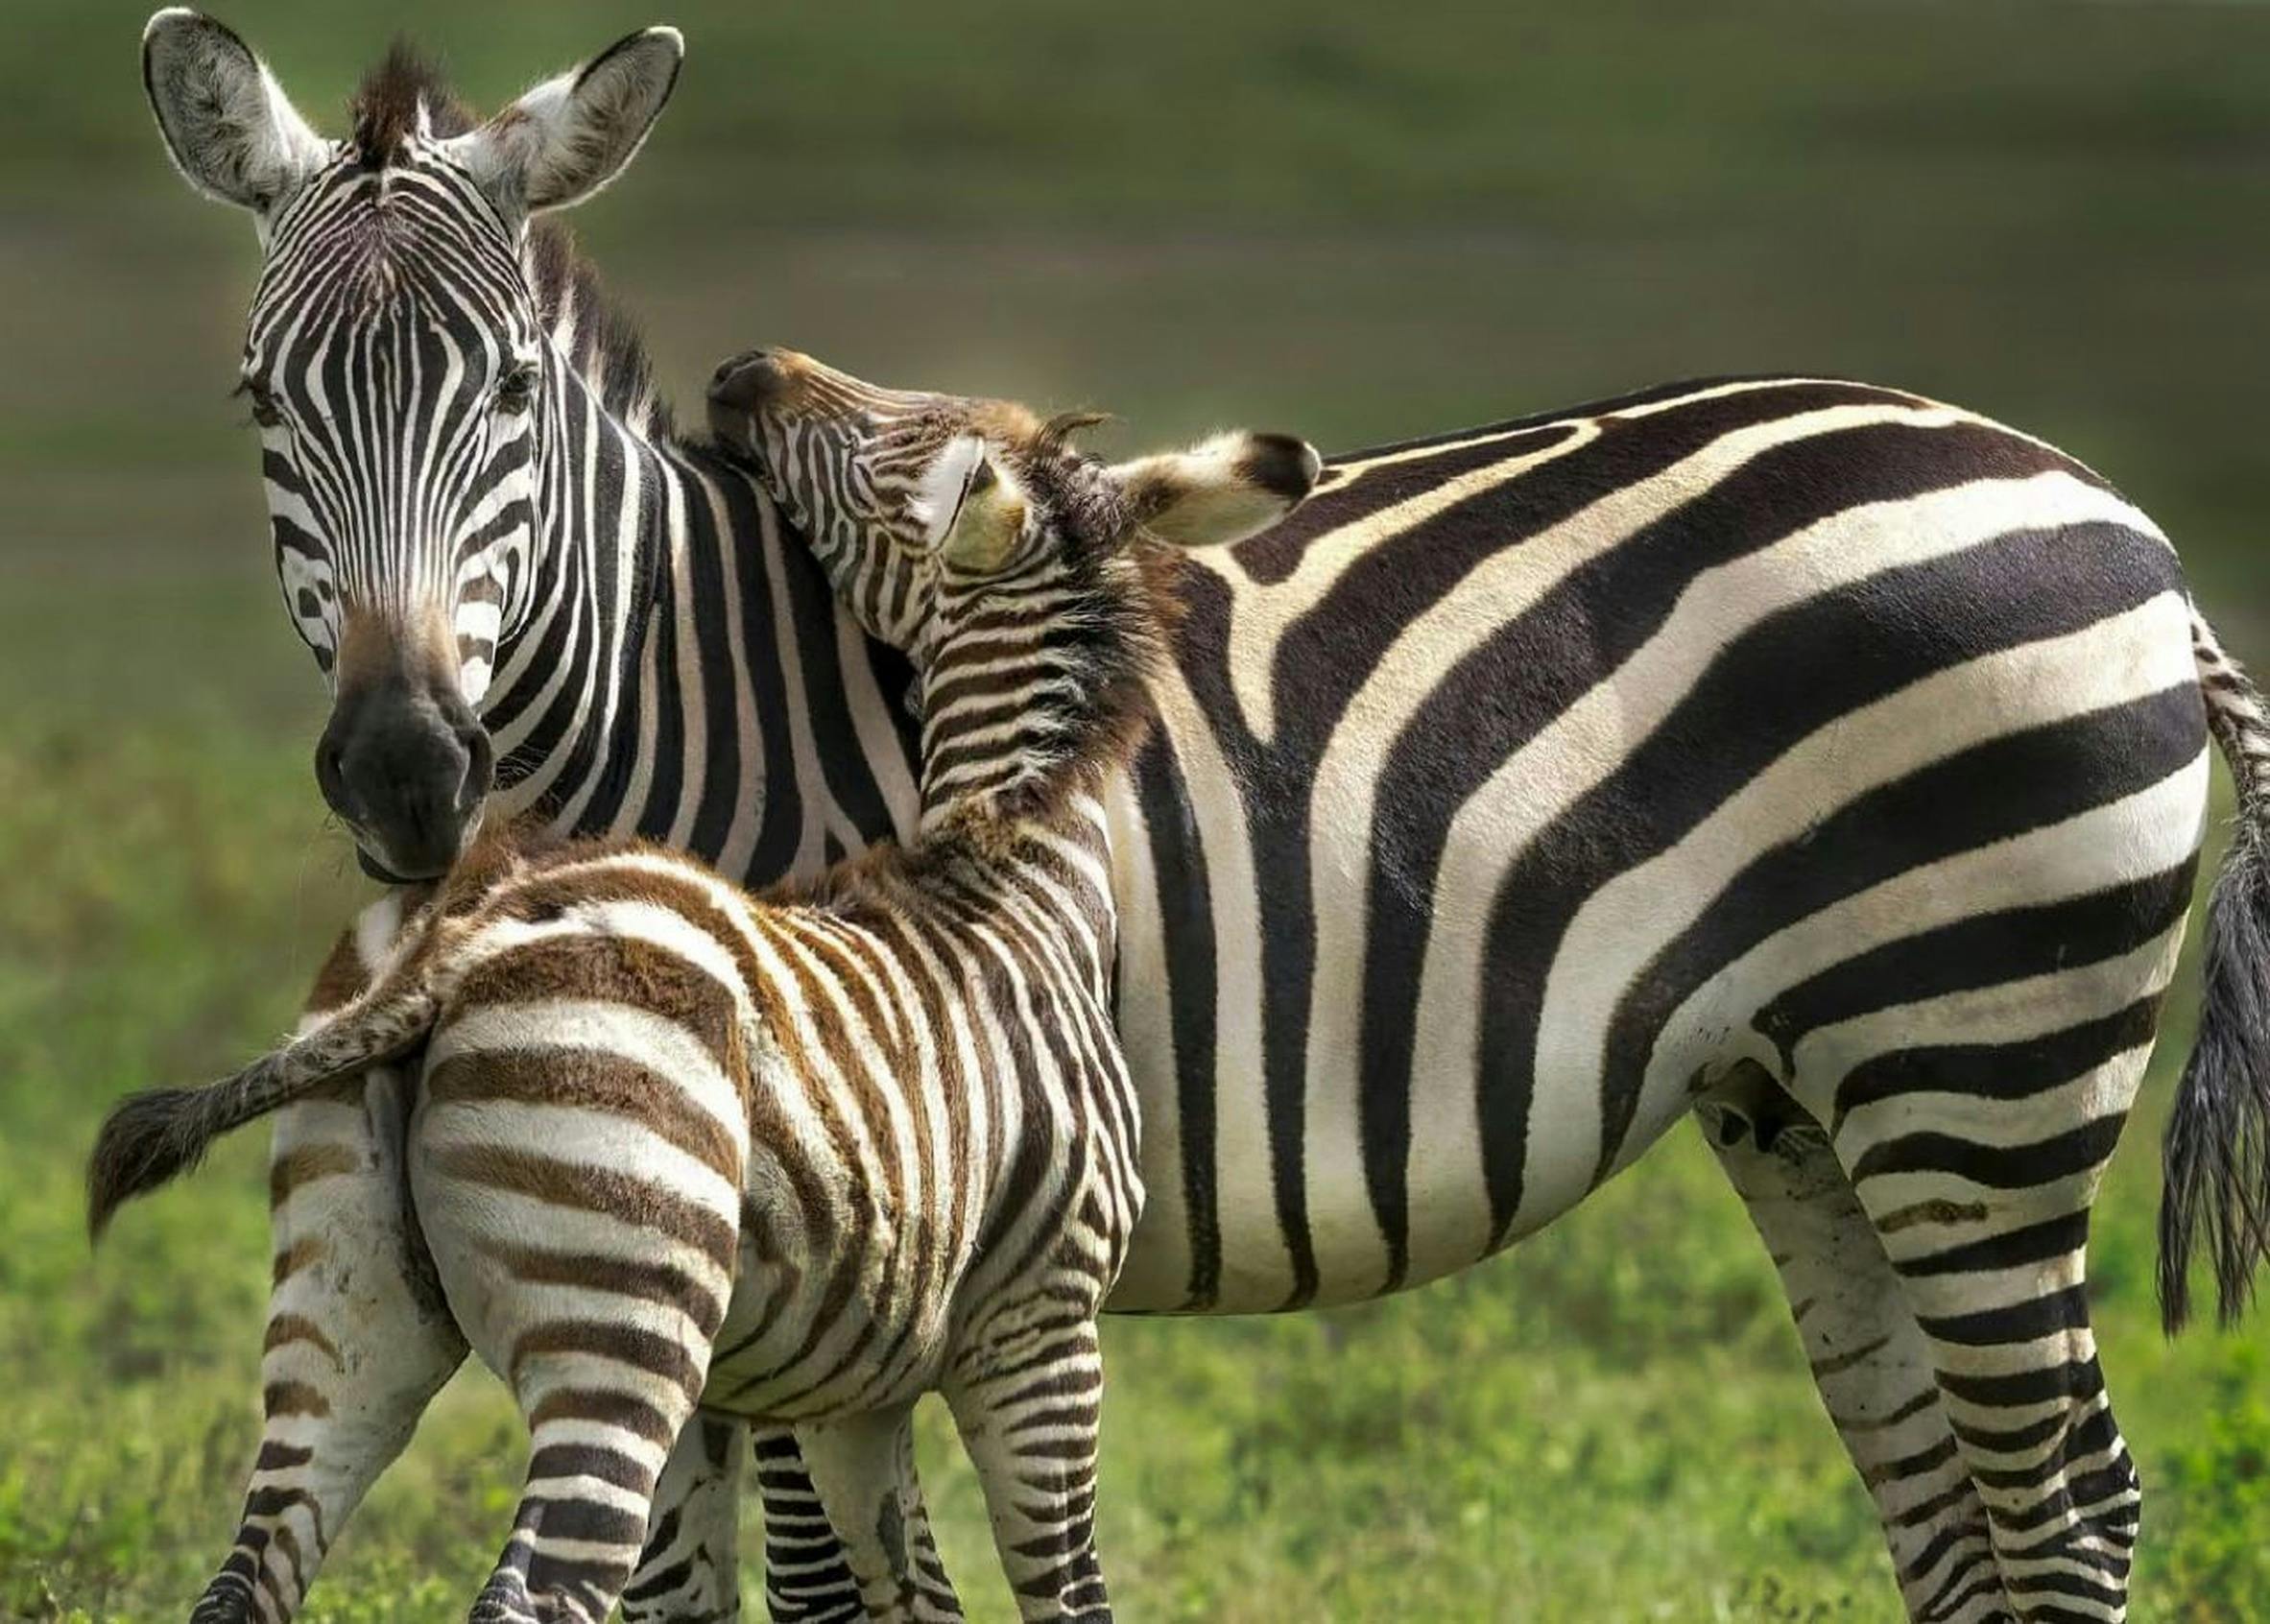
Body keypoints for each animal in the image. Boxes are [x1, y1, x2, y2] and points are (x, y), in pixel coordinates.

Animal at [87, 368, 1323, 1624]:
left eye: (883, 443)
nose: (743, 378)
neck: (1016, 879)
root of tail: (457, 943)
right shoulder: (1044, 1329)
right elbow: (1067, 1595)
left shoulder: (858, 1395)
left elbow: (910, 1591)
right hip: (623, 1323)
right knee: (540, 1590)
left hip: (344, 1311)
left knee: (249, 1576)